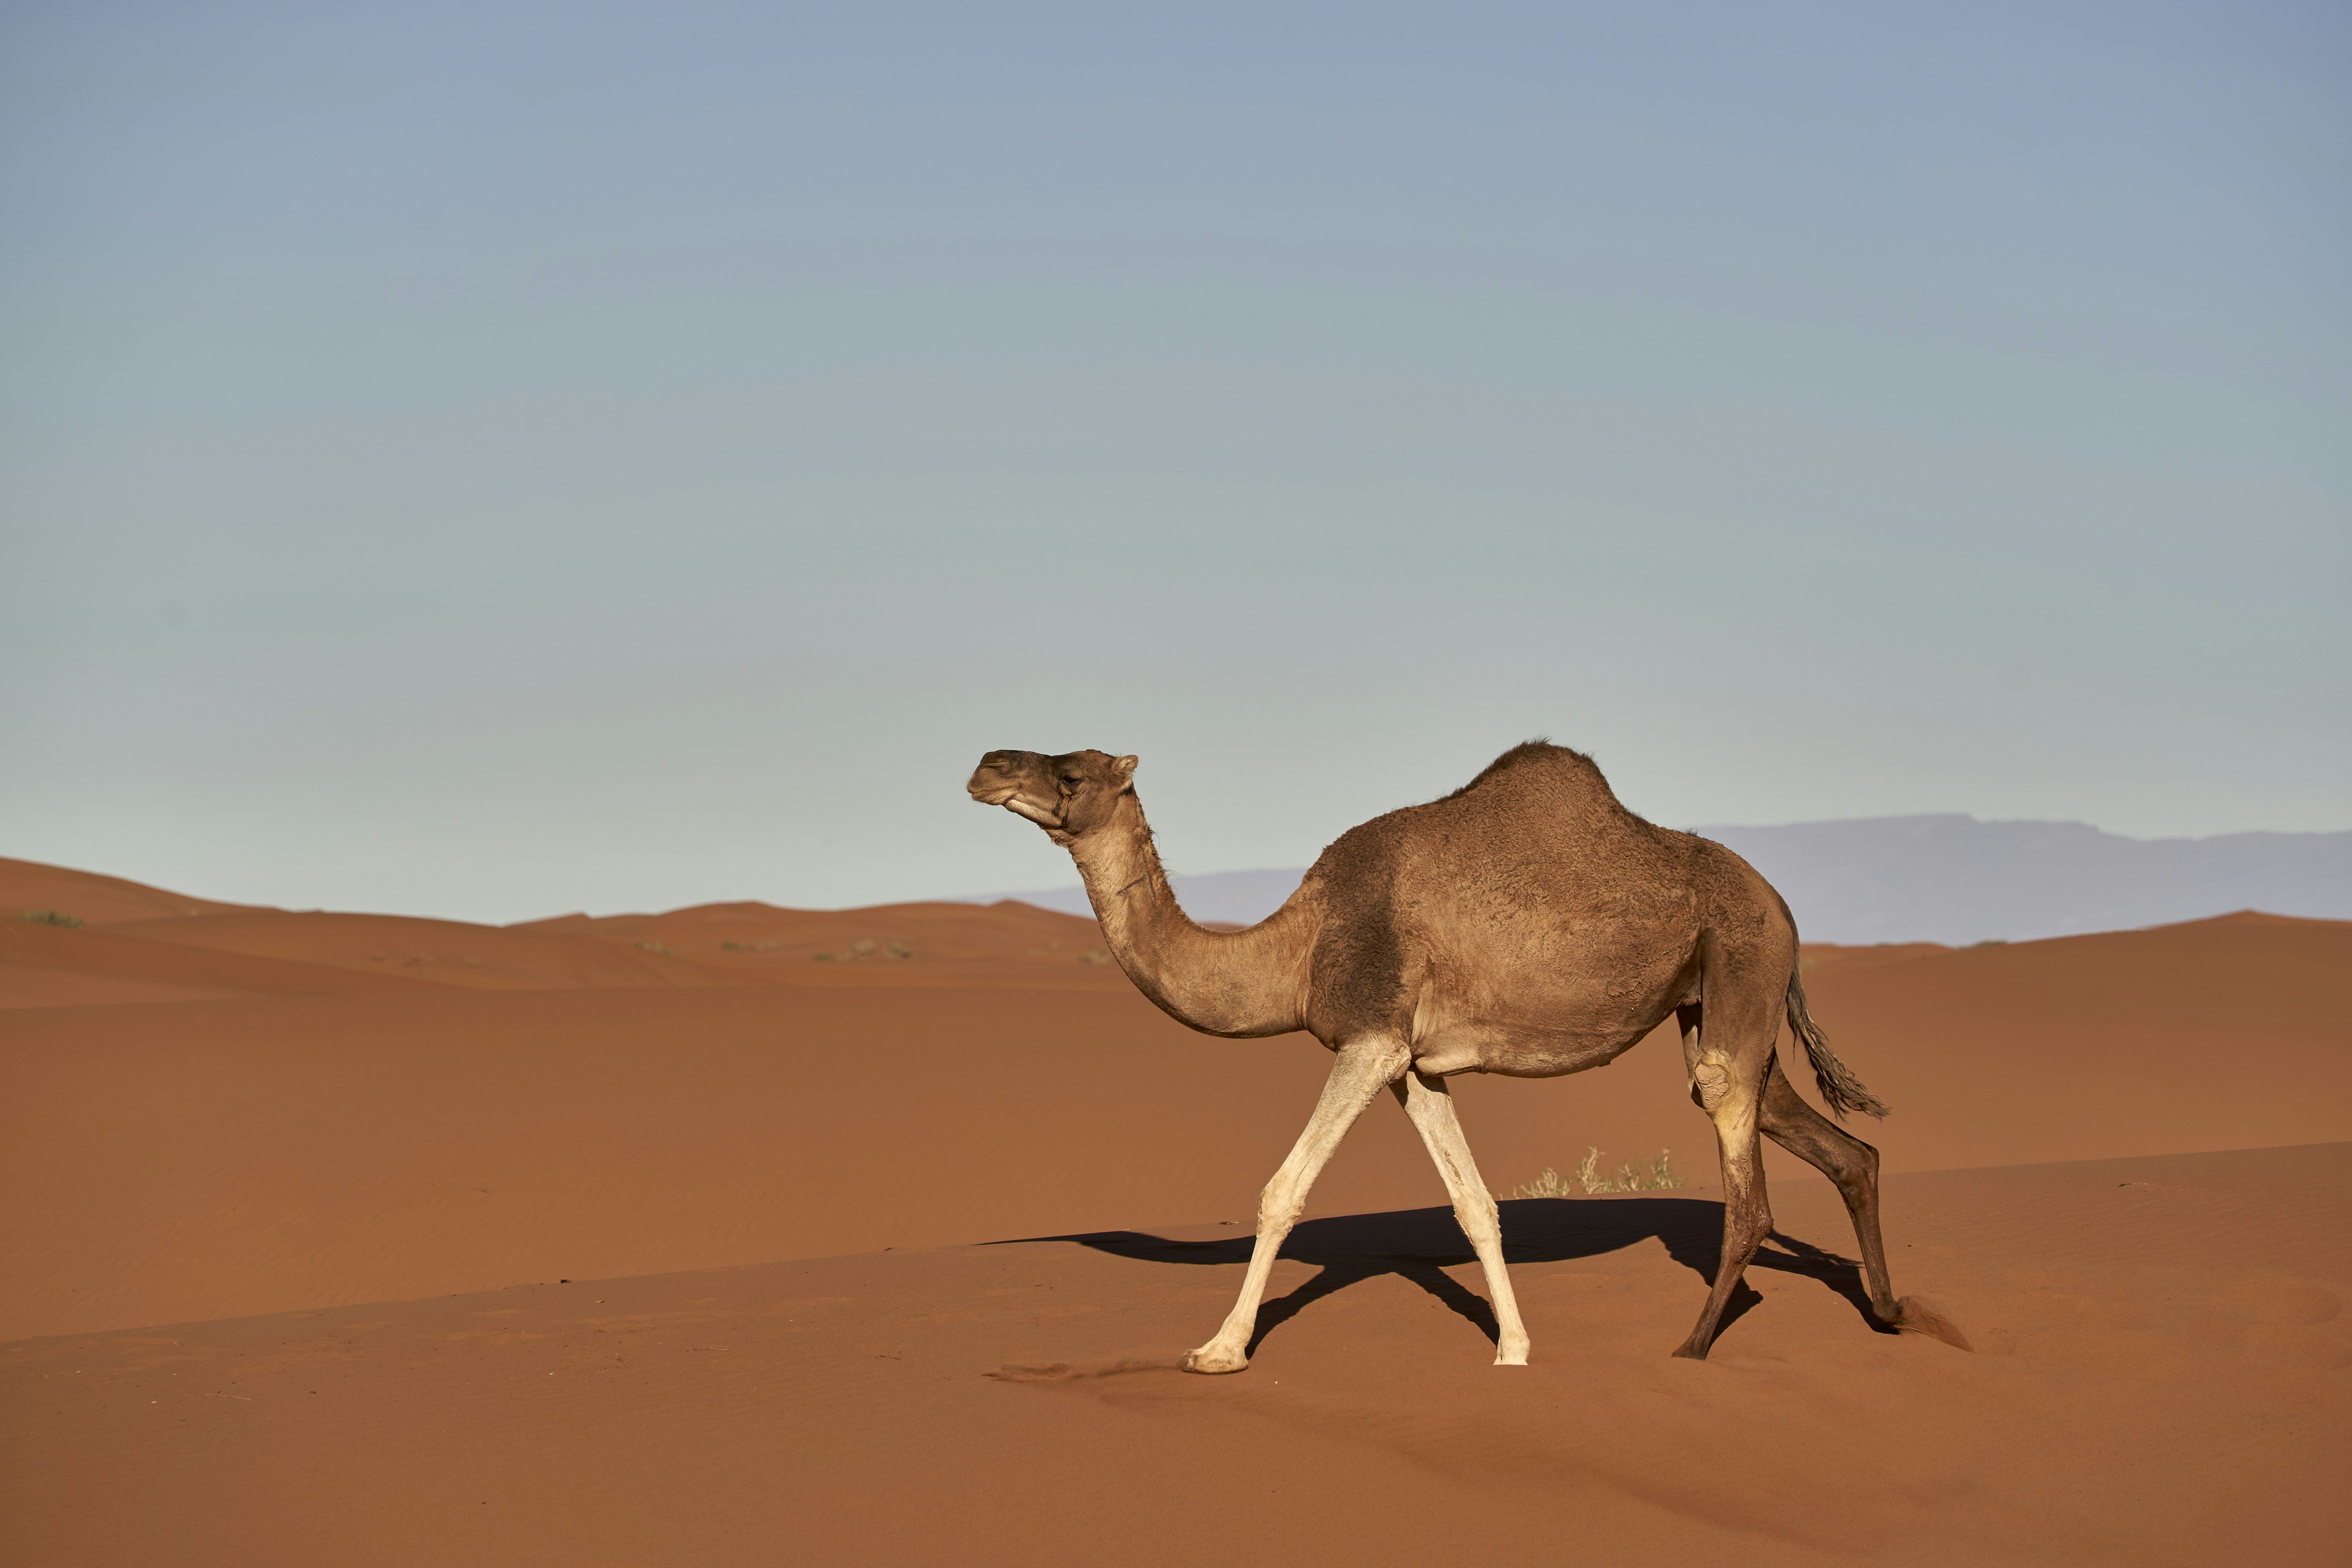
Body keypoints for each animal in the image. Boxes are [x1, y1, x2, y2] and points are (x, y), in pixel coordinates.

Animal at [967, 740, 1960, 1371]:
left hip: (1742, 970)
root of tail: (1780, 902)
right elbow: (1476, 1204)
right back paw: (1890, 1312)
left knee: (1746, 1186)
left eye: (1069, 770)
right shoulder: (1416, 1064)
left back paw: (1692, 1347)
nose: (984, 765)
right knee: (1845, 1148)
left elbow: (1283, 1190)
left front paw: (1218, 1349)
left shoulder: (1368, 1037)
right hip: (1716, 1003)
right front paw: (1514, 1348)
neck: (1299, 944)